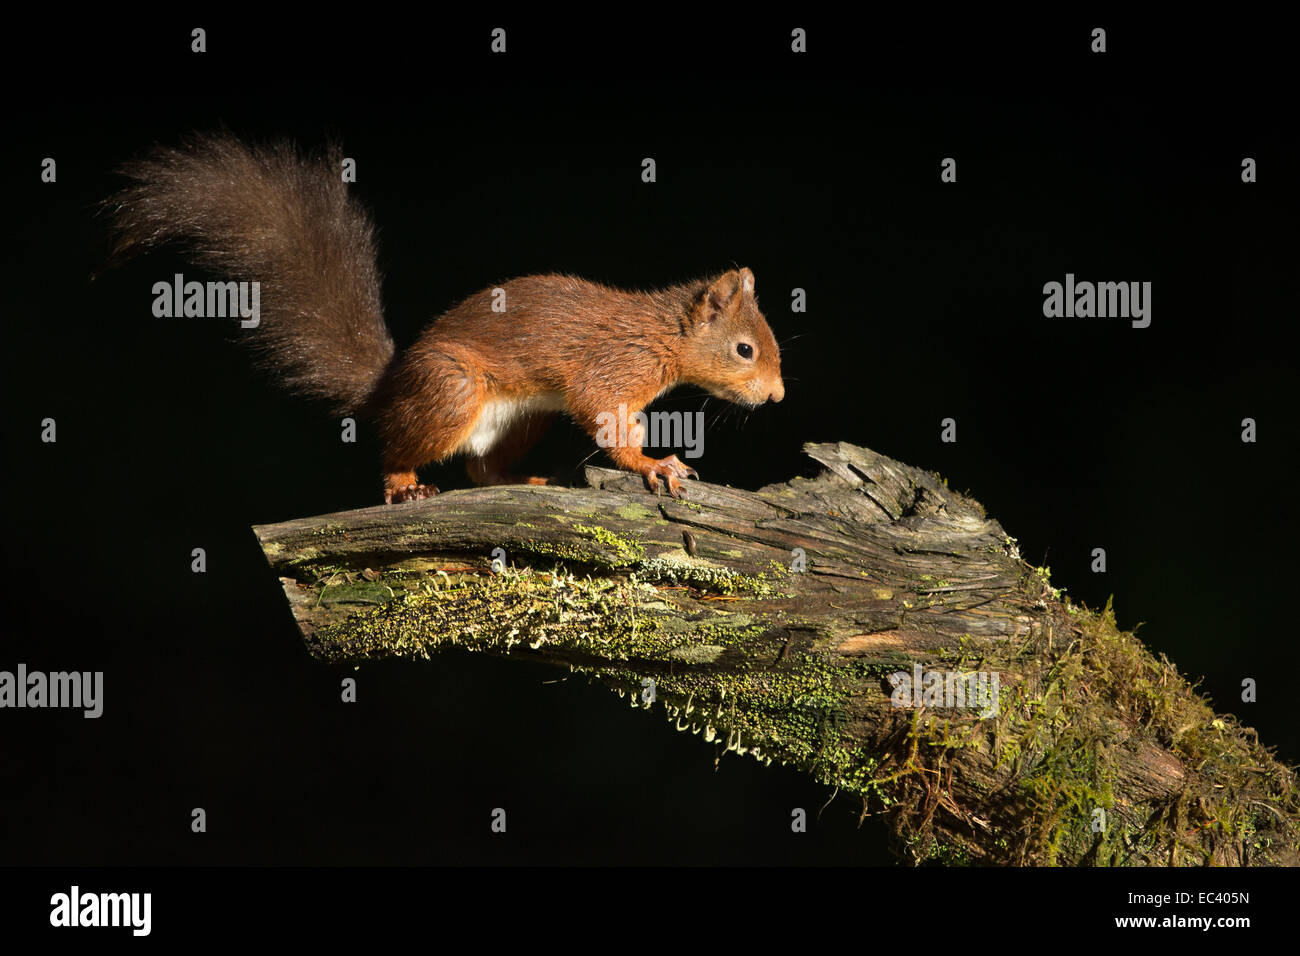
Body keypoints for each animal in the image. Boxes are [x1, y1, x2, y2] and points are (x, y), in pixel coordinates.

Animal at [104, 134, 785, 503]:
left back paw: (523, 481)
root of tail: (391, 385)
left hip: (522, 418)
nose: (777, 397)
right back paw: (404, 482)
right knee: (396, 447)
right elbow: (607, 423)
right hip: (452, 391)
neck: (659, 335)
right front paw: (656, 465)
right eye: (746, 350)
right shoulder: (613, 368)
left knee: (479, 467)